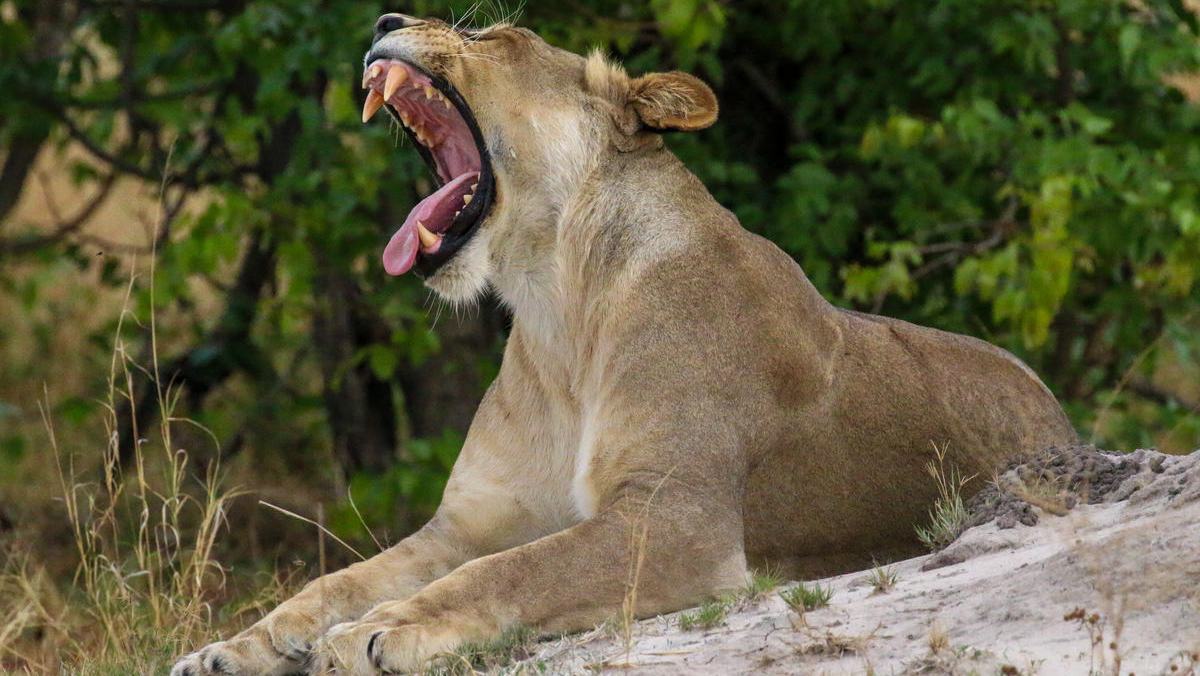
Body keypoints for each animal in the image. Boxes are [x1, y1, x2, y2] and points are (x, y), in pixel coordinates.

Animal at [172, 13, 1076, 675]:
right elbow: (338, 579)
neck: (555, 309)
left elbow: (518, 570)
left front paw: (386, 628)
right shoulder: (465, 524)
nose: (386, 17)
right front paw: (237, 647)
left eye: (496, 34)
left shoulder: (676, 519)